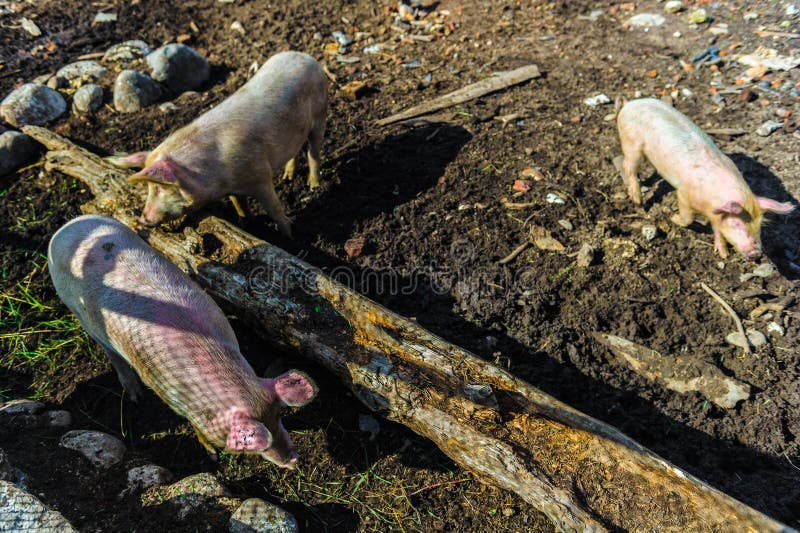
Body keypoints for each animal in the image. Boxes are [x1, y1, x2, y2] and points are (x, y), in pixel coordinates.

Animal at [48, 214, 317, 468]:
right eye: (260, 446)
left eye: (279, 416)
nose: (294, 459)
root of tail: (64, 229)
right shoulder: (168, 393)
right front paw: (211, 455)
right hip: (78, 311)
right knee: (110, 353)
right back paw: (136, 397)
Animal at [108, 51, 329, 238]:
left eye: (160, 188)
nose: (142, 220)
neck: (217, 175)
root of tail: (307, 57)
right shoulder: (233, 190)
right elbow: (239, 206)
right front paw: (246, 224)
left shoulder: (261, 176)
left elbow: (274, 209)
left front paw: (289, 235)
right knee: (295, 150)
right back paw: (288, 177)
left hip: (320, 116)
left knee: (314, 152)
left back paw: (313, 186)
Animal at [617, 98, 794, 260]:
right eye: (736, 224)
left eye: (759, 225)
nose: (756, 254)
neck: (710, 204)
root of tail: (630, 104)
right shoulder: (683, 193)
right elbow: (688, 218)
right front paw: (673, 218)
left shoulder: (716, 215)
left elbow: (718, 230)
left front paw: (723, 255)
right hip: (631, 143)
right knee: (628, 166)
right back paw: (638, 201)